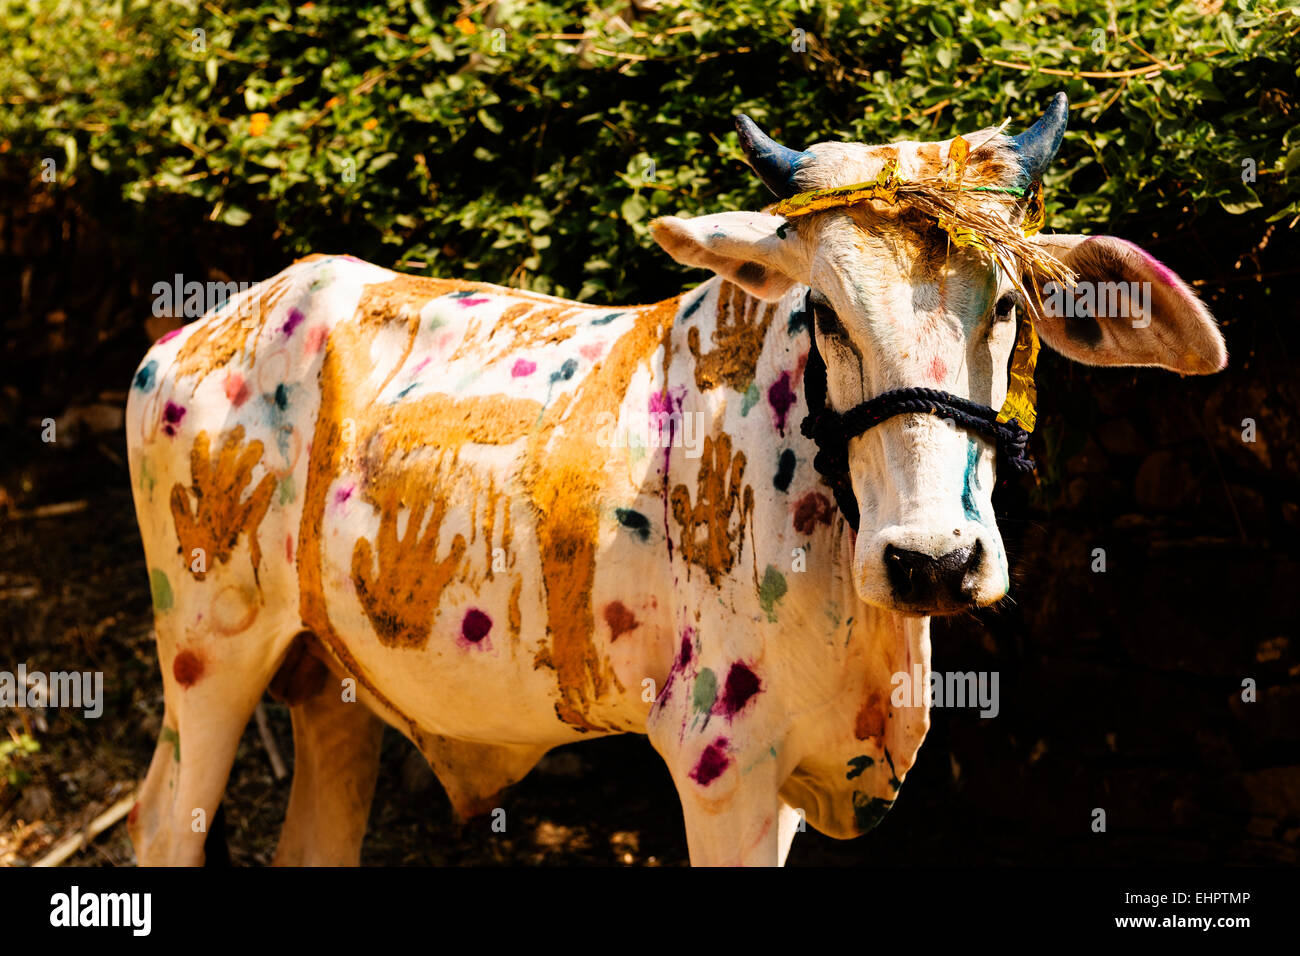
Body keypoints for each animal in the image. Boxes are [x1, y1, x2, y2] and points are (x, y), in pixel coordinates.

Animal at [124, 93, 1225, 866]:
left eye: (1005, 302)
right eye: (824, 310)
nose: (932, 561)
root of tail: (199, 329)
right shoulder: (722, 765)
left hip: (331, 686)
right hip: (207, 656)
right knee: (162, 824)